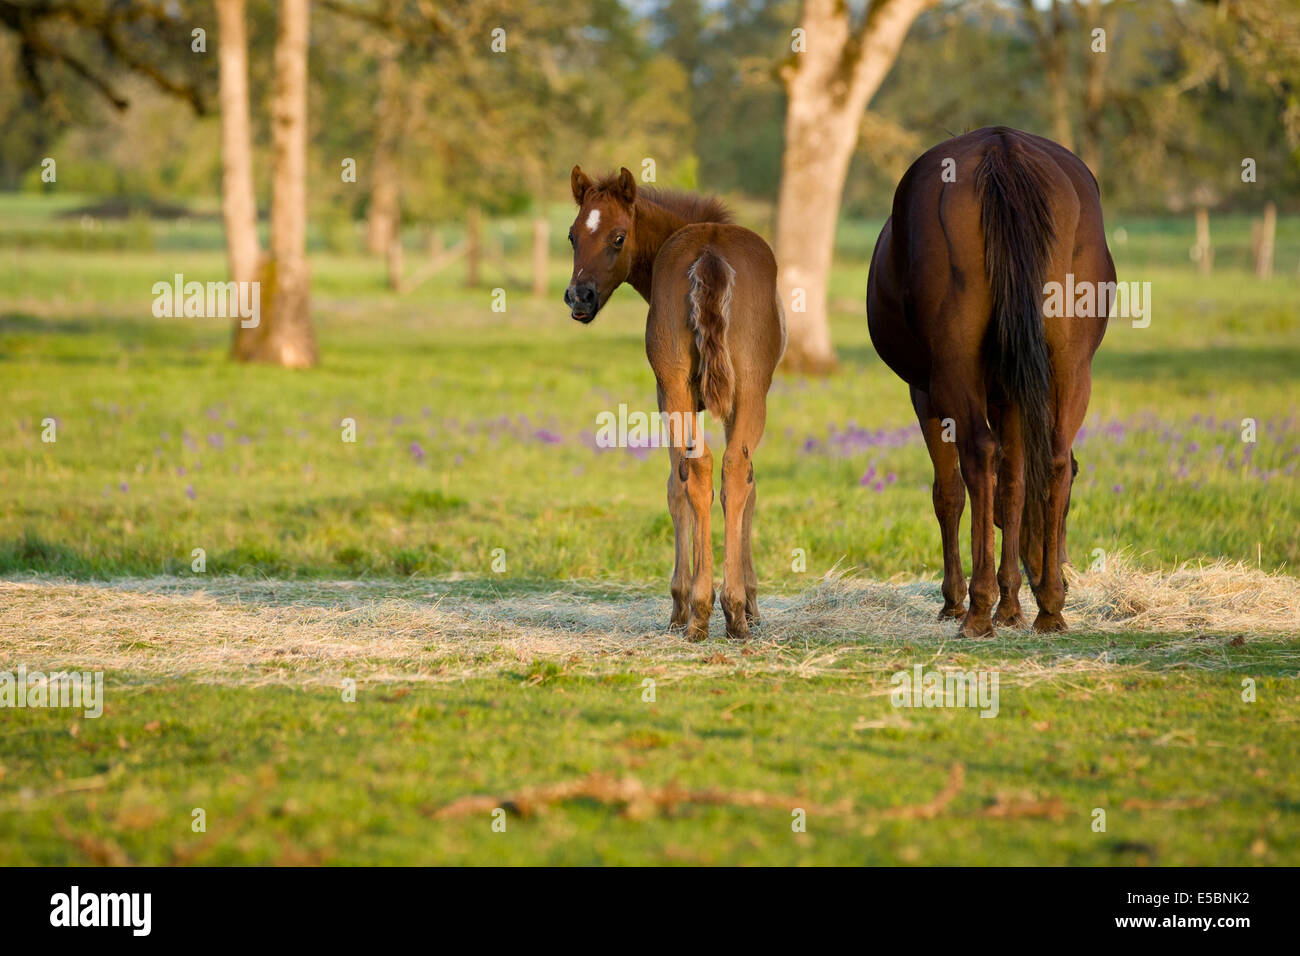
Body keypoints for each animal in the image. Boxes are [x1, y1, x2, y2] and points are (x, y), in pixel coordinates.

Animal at [563, 166, 786, 641]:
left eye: (617, 237)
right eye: (573, 236)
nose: (579, 297)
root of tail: (709, 255)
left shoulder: (674, 395)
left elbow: (688, 484)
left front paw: (706, 602)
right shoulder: (681, 397)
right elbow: (698, 485)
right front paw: (726, 602)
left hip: (695, 389)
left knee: (714, 470)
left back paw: (714, 610)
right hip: (730, 390)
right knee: (719, 470)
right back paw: (719, 610)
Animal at [866, 127, 1113, 637]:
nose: (1060, 567)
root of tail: (1002, 148)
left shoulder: (926, 396)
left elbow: (950, 493)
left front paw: (958, 600)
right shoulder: (1012, 398)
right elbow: (1013, 488)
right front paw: (1013, 603)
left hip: (953, 374)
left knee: (977, 458)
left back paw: (978, 610)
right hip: (1071, 368)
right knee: (1055, 460)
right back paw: (1050, 606)